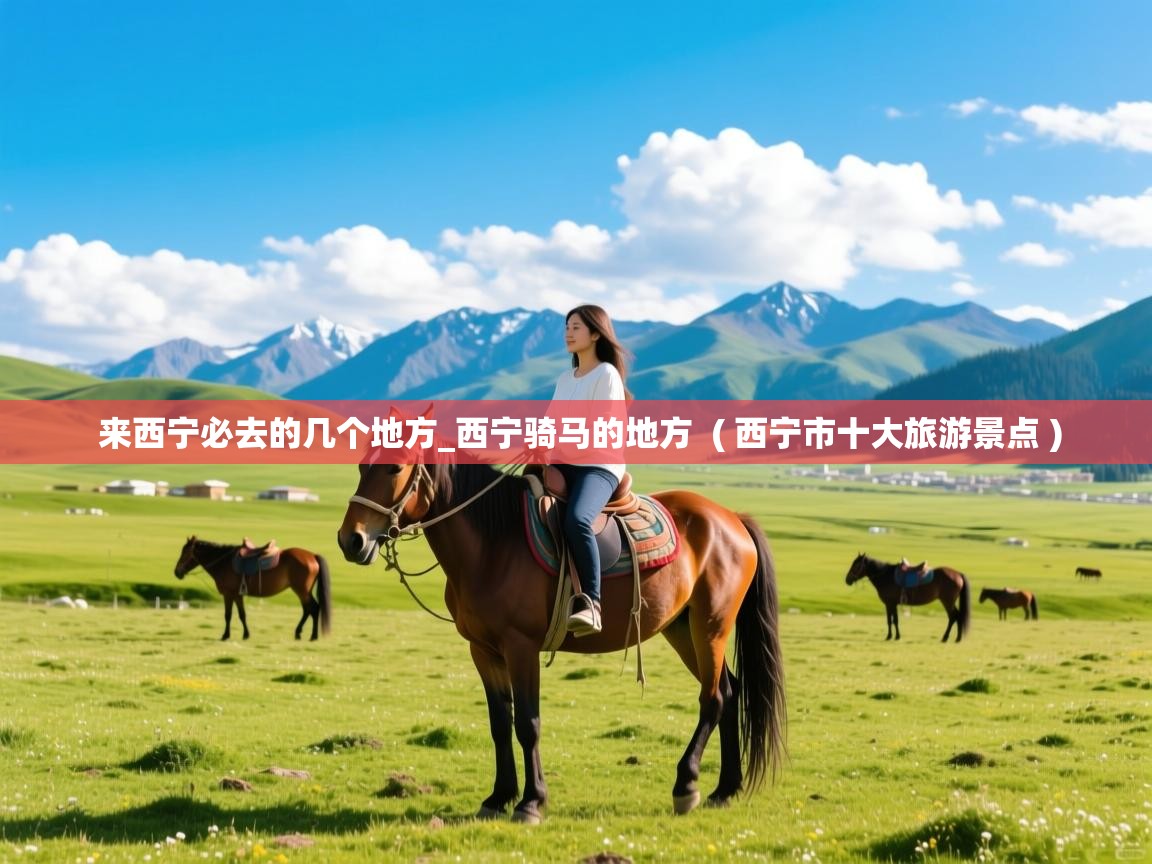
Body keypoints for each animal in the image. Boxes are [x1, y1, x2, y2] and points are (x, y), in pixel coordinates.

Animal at [173, 536, 331, 641]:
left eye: (185, 553)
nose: (177, 572)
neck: (224, 563)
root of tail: (312, 556)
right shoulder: (237, 595)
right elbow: (242, 615)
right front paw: (246, 634)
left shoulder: (228, 594)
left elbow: (228, 615)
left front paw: (225, 635)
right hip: (303, 591)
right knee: (308, 610)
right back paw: (301, 633)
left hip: (302, 590)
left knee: (313, 608)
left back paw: (312, 635)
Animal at [337, 460, 786, 824]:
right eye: (361, 465)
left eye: (394, 468)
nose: (350, 540)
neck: (492, 544)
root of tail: (732, 518)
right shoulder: (483, 650)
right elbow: (499, 724)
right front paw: (498, 797)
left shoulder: (520, 647)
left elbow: (527, 724)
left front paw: (530, 803)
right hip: (681, 628)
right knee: (730, 691)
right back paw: (724, 790)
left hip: (710, 626)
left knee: (713, 698)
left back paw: (686, 786)